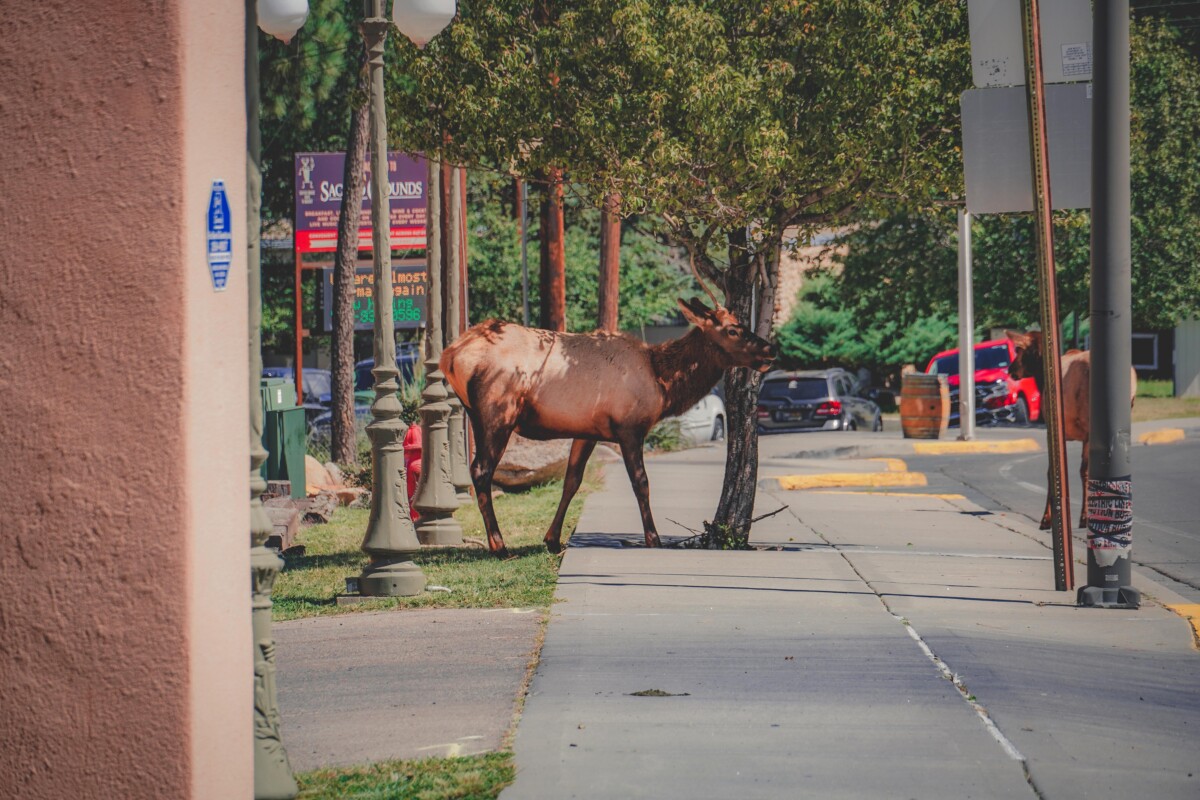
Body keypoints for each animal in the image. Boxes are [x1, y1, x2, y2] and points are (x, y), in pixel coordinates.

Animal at [441, 298, 777, 556]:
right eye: (733, 329)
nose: (770, 349)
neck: (663, 385)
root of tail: (450, 355)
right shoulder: (629, 428)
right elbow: (641, 483)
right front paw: (653, 539)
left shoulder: (587, 432)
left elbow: (572, 481)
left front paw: (552, 540)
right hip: (497, 413)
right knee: (481, 470)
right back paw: (499, 546)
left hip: (477, 414)